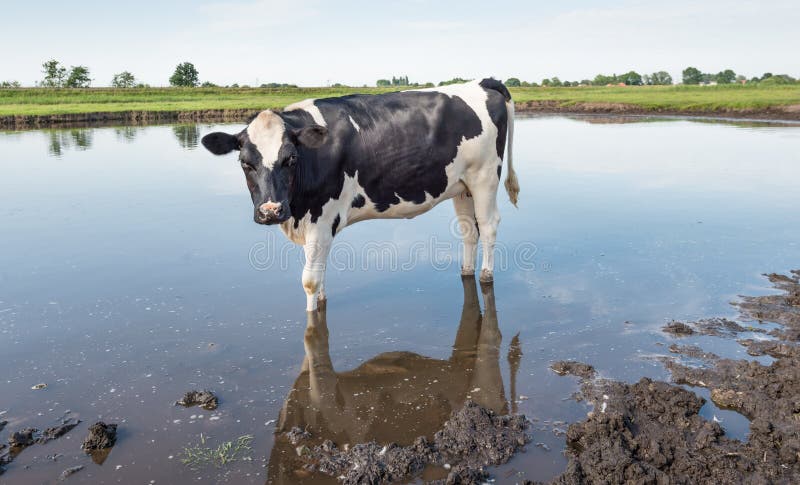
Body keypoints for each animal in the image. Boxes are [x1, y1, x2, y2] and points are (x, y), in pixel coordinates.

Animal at [201, 78, 519, 311]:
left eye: (290, 158)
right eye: (244, 162)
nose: (270, 211)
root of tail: (482, 82)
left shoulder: (321, 217)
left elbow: (309, 280)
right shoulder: (310, 221)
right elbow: (320, 274)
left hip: (485, 177)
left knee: (488, 225)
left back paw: (486, 276)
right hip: (462, 187)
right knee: (468, 230)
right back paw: (466, 271)